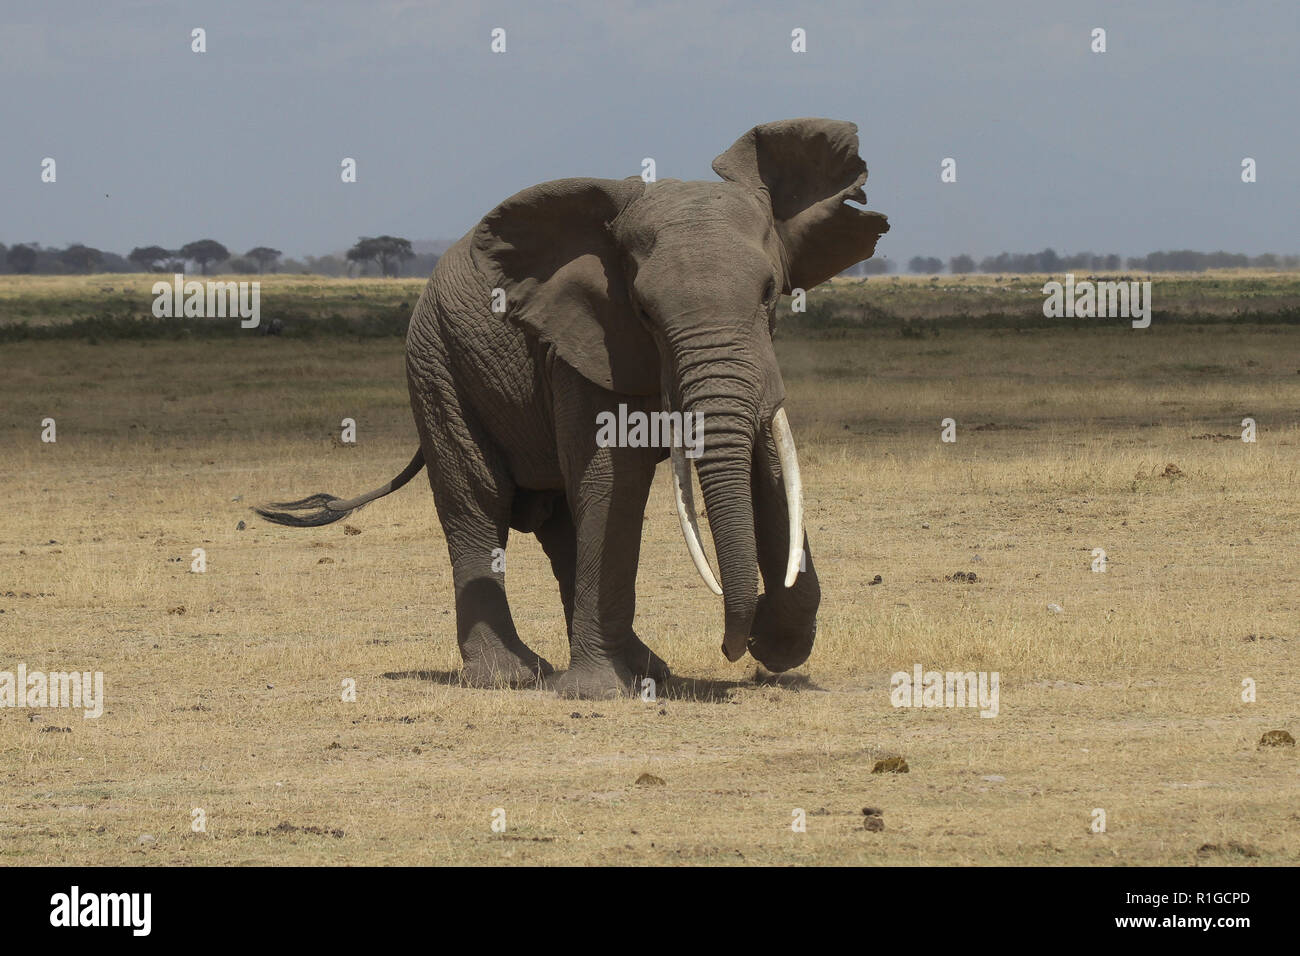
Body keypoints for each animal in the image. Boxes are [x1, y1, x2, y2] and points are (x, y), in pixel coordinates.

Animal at [255, 118, 889, 698]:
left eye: (769, 294)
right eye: (643, 312)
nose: (735, 647)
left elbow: (768, 462)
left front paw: (781, 647)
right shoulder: (582, 342)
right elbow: (614, 480)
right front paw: (597, 692)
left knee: (559, 521)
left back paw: (645, 668)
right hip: (436, 363)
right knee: (477, 500)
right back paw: (513, 676)